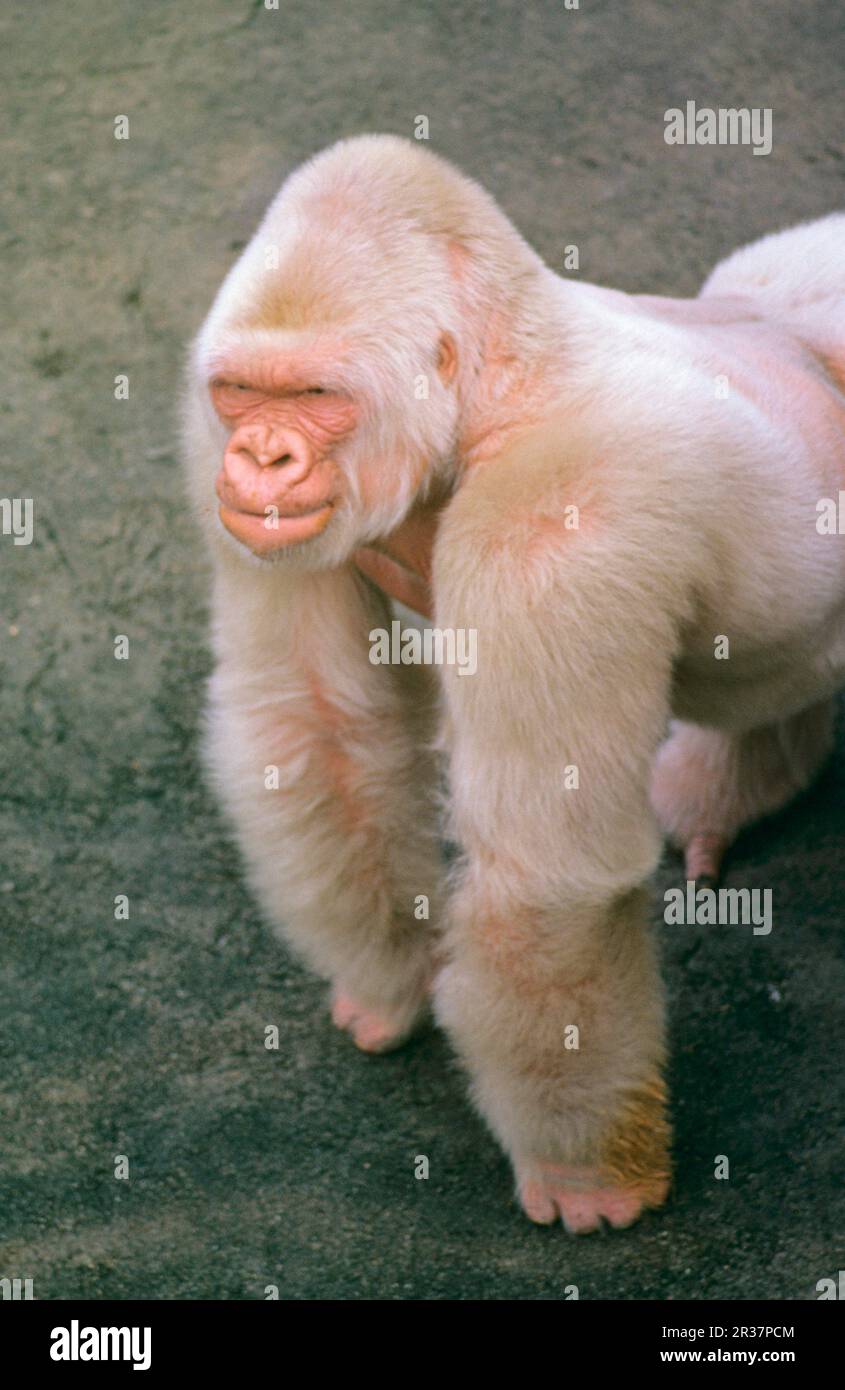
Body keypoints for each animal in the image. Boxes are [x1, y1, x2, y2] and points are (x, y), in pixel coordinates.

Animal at [183, 134, 845, 1233]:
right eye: (243, 391)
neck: (496, 385)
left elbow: (544, 879)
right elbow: (315, 725)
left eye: (317, 398)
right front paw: (390, 980)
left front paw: (586, 1168)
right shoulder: (206, 449)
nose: (261, 457)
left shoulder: (558, 527)